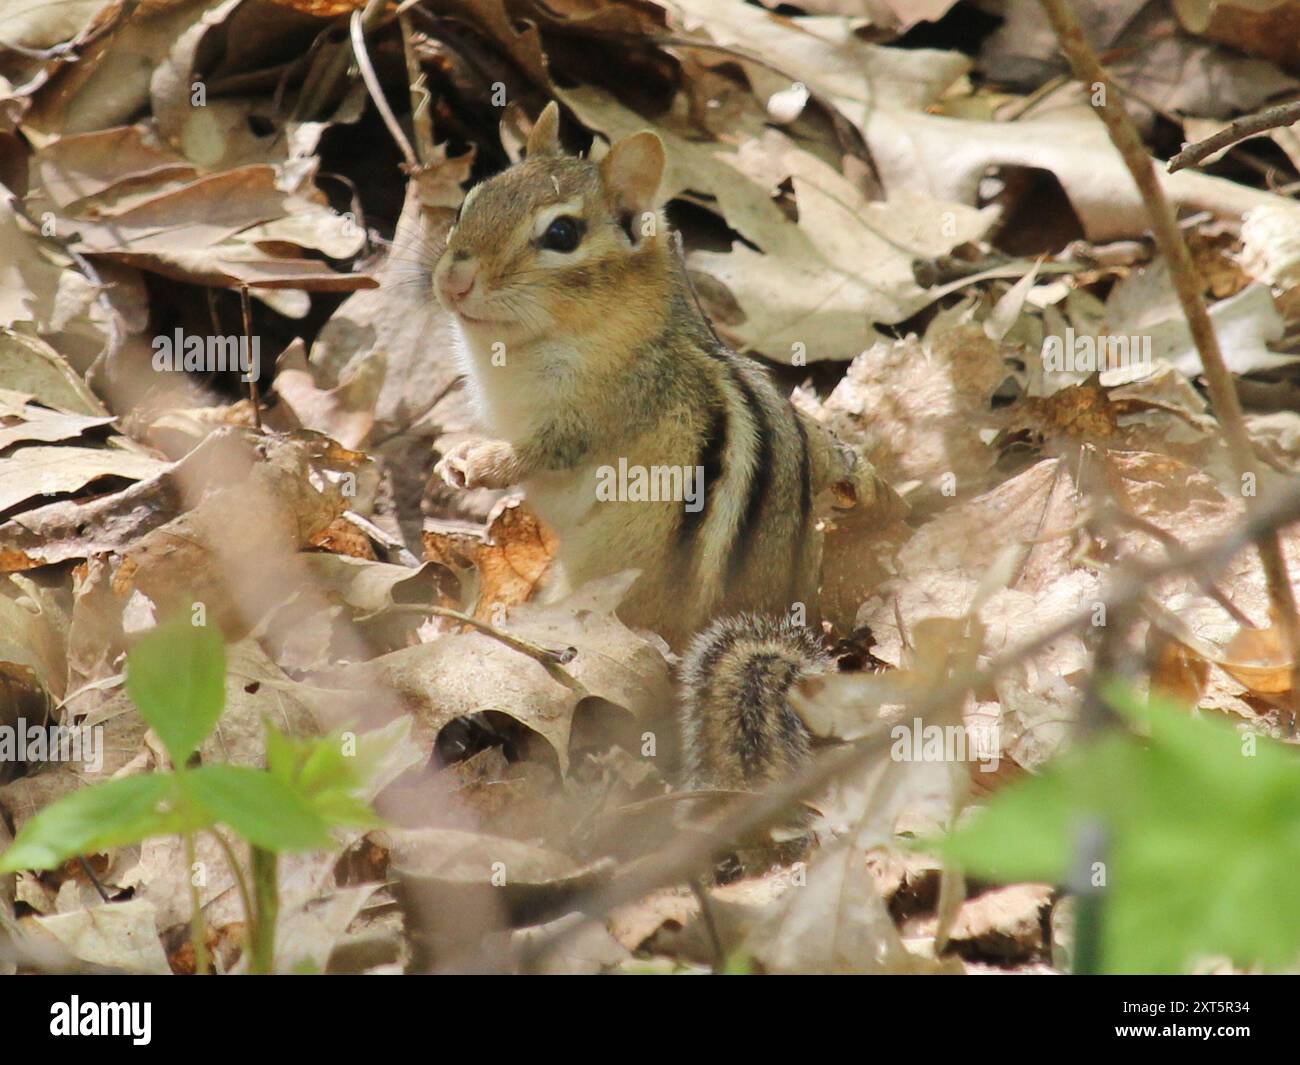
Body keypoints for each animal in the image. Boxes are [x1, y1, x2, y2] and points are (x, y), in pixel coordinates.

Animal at [432, 102, 838, 792]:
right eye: (470, 200)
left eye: (562, 234)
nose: (454, 279)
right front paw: (450, 452)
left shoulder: (599, 412)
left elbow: (542, 451)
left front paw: (476, 463)